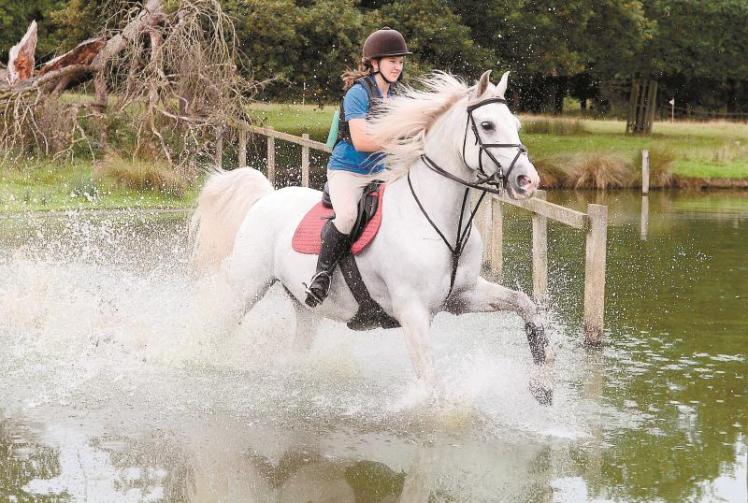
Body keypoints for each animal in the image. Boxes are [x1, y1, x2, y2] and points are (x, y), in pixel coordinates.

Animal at [189, 70, 554, 405]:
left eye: (516, 124)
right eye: (488, 125)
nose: (528, 181)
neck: (441, 221)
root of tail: (266, 198)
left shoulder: (463, 296)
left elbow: (525, 305)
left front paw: (543, 384)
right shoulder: (412, 310)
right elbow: (430, 380)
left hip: (303, 305)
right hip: (247, 287)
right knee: (218, 325)